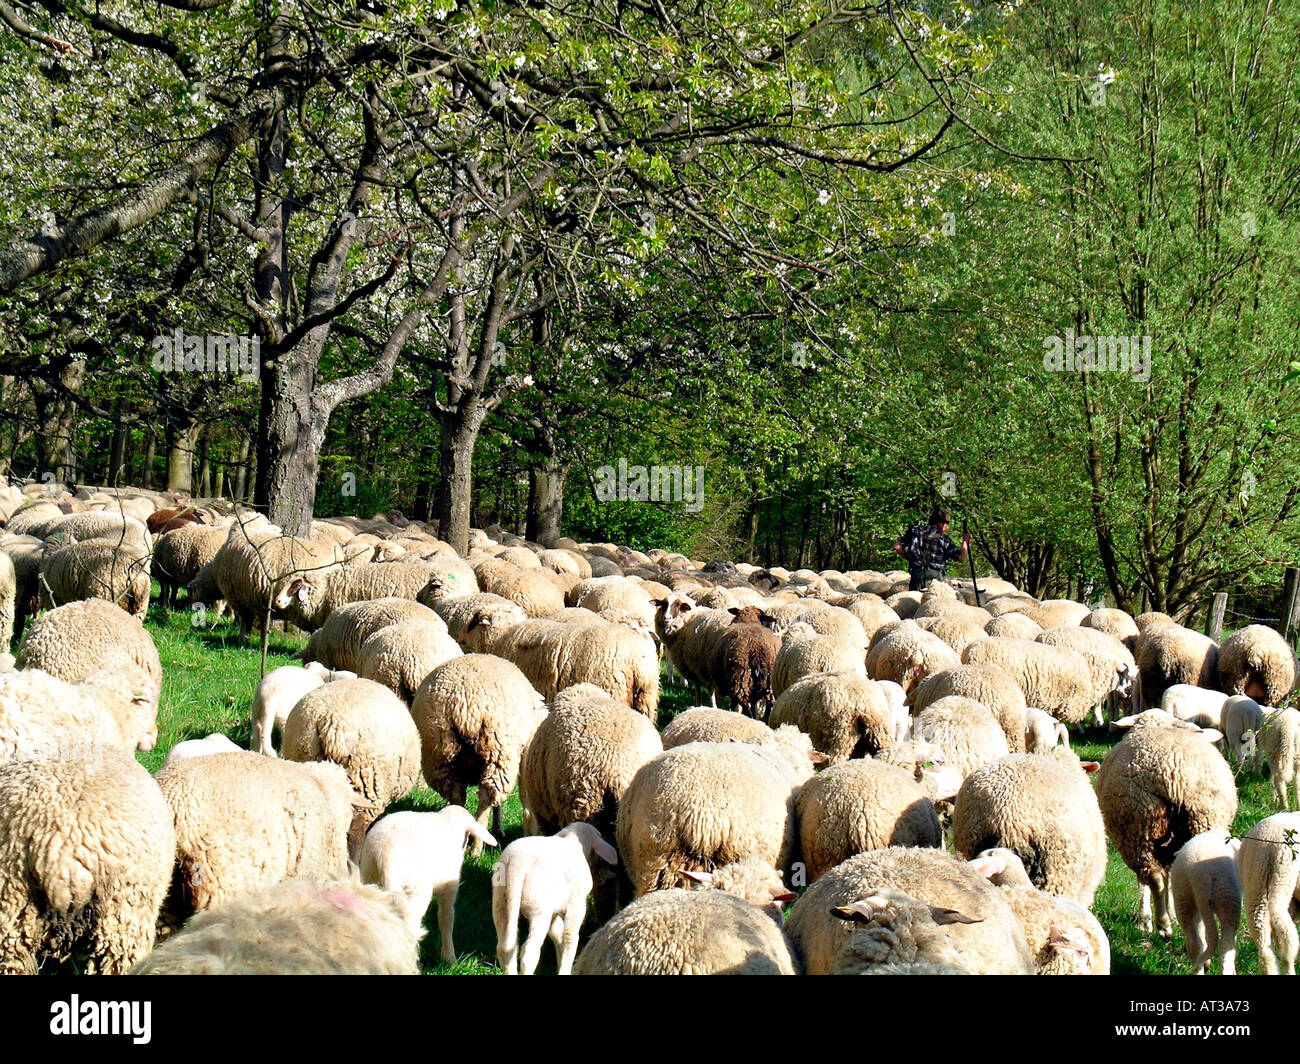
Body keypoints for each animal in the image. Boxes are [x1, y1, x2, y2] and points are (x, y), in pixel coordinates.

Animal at [359, 806, 498, 962]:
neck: (449, 820)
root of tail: (384, 853)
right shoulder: (449, 887)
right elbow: (446, 919)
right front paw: (449, 957)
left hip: (369, 876)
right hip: (415, 888)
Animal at [412, 655, 545, 854]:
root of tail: (464, 702)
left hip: (438, 752)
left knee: (457, 795)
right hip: (499, 752)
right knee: (485, 798)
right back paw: (476, 849)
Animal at [492, 823, 619, 975]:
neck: (573, 839)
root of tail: (517, 864)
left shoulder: (553, 909)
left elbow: (558, 934)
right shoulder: (577, 901)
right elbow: (570, 936)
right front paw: (566, 968)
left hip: (501, 900)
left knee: (504, 947)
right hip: (539, 908)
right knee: (529, 952)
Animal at [1096, 711, 1237, 936]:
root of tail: (1174, 773)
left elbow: (1149, 881)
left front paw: (1145, 920)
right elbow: (1169, 875)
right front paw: (1171, 914)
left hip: (1137, 827)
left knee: (1154, 877)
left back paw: (1163, 925)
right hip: (1202, 818)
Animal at [1170, 831, 1242, 975]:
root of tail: (1200, 877)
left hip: (1183, 898)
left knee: (1194, 943)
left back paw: (1198, 968)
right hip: (1228, 897)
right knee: (1226, 944)